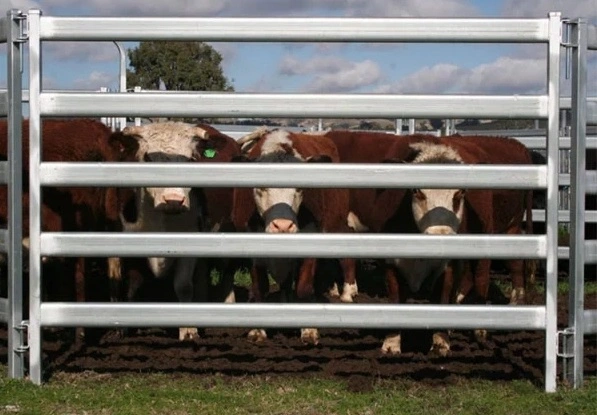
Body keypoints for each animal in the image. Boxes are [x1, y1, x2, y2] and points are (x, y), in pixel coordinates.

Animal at [232, 128, 354, 346]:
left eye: (299, 188)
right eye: (260, 188)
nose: (283, 226)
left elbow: (303, 288)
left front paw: (309, 330)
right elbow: (259, 287)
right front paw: (258, 330)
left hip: (337, 224)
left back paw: (347, 293)